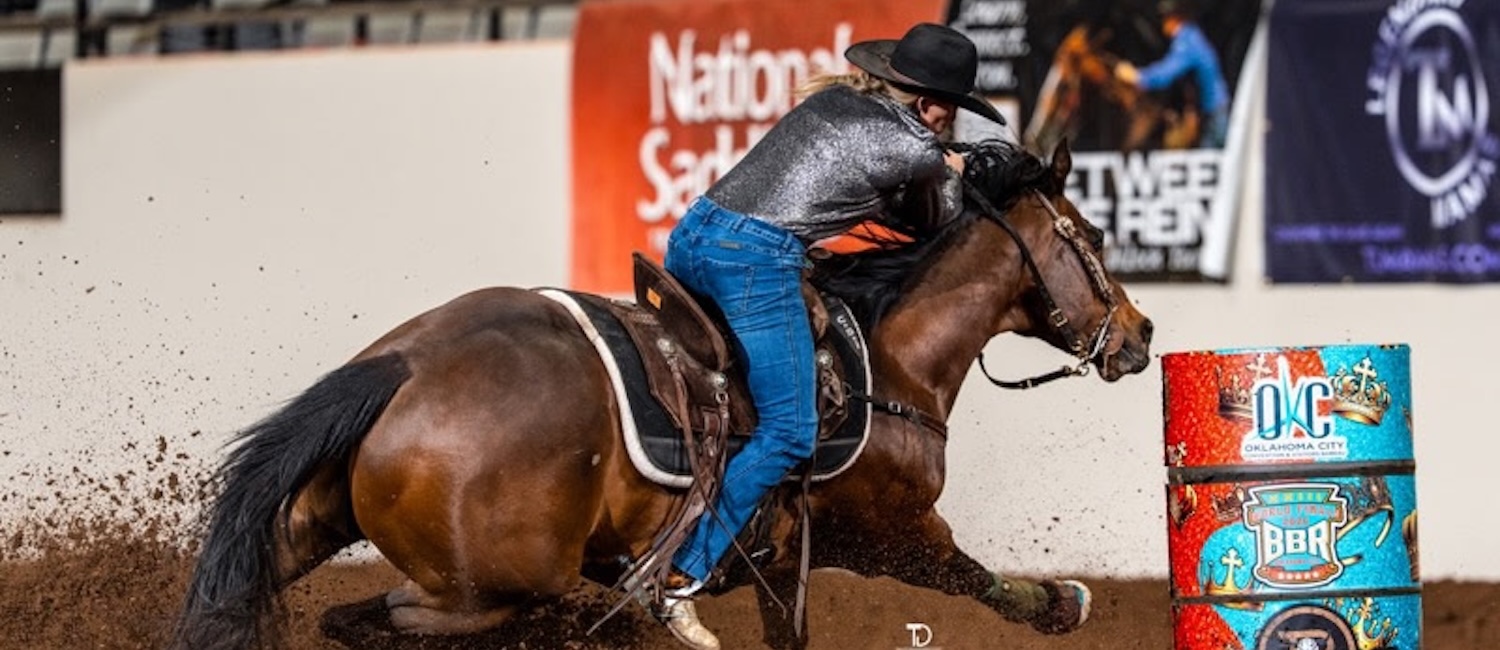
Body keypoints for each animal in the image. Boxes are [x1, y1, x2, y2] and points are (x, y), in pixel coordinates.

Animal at [172, 138, 1154, 650]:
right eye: (1093, 234)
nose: (1141, 335)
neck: (887, 361)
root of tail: (407, 363)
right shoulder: (898, 534)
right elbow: (980, 579)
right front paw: (1066, 602)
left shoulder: (788, 569)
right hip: (492, 589)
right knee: (382, 618)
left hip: (306, 526)